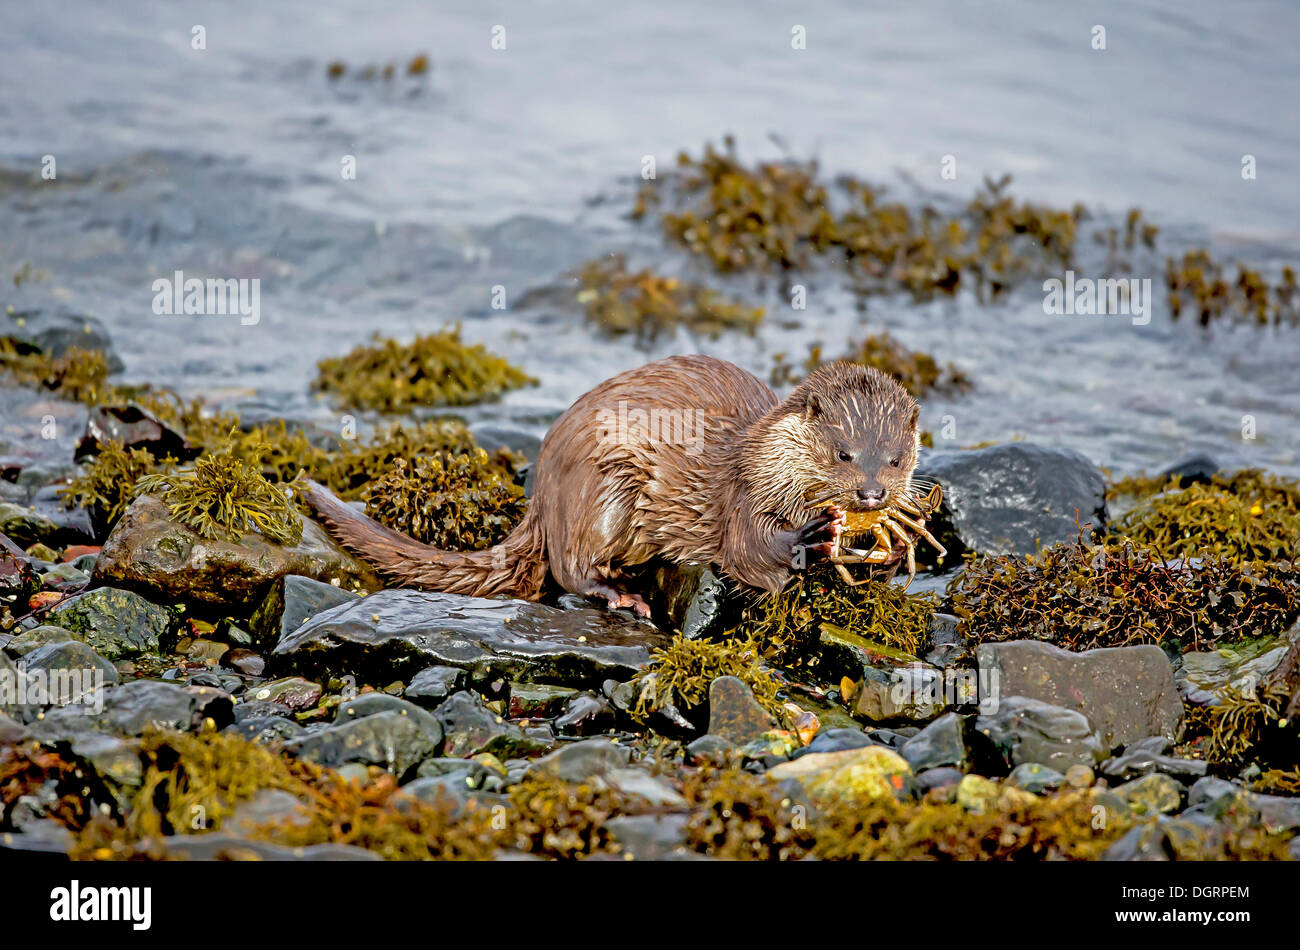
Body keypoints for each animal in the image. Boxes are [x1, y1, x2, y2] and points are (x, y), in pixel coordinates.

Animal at [297, 355, 922, 617]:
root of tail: (542, 494)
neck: (771, 462)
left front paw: (893, 550)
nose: (872, 494)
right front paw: (806, 541)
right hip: (602, 486)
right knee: (568, 567)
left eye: (895, 460)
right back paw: (619, 594)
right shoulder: (743, 491)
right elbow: (746, 551)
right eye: (843, 454)